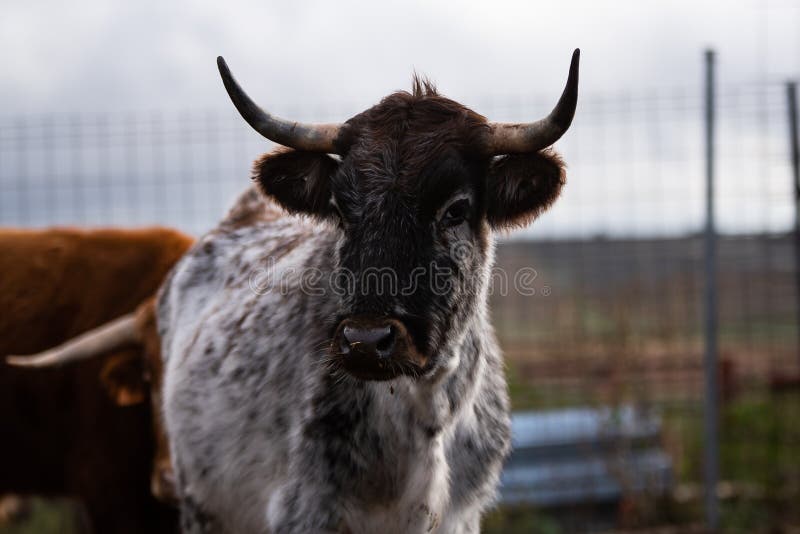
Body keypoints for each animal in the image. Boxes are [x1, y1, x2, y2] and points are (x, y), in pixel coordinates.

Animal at [158, 50, 579, 533]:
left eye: (456, 209)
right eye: (340, 210)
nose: (366, 340)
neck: (426, 407)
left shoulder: (460, 517)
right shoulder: (306, 511)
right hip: (199, 504)